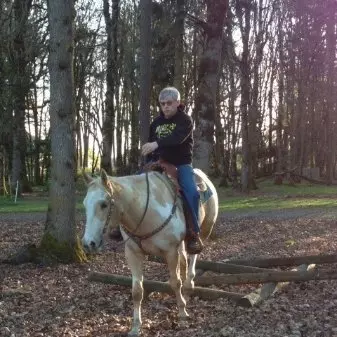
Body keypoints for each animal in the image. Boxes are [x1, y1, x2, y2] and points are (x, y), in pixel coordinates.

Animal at [81, 169, 218, 334]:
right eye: (84, 204)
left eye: (104, 204)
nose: (88, 243)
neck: (145, 213)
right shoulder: (133, 254)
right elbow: (137, 291)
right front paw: (135, 327)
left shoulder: (170, 252)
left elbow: (175, 283)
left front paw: (182, 315)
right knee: (184, 260)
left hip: (204, 231)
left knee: (192, 258)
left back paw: (189, 285)